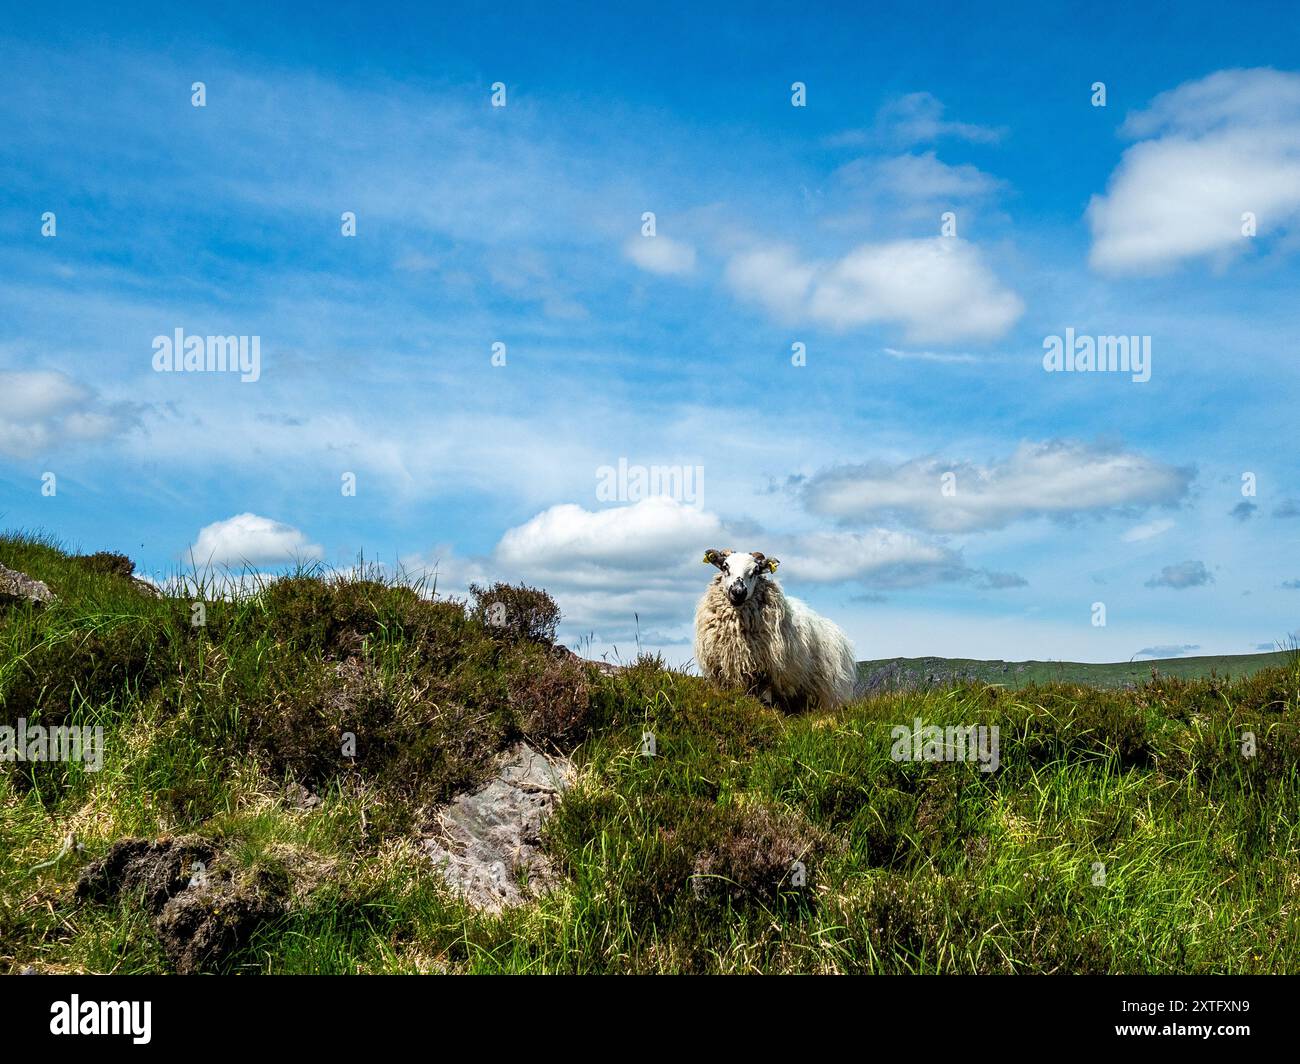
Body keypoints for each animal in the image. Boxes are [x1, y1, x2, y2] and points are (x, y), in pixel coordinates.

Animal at [694, 548, 857, 711]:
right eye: (725, 567)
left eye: (756, 570)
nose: (738, 591)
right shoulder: (720, 673)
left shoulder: (768, 674)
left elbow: (766, 702)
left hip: (829, 693)